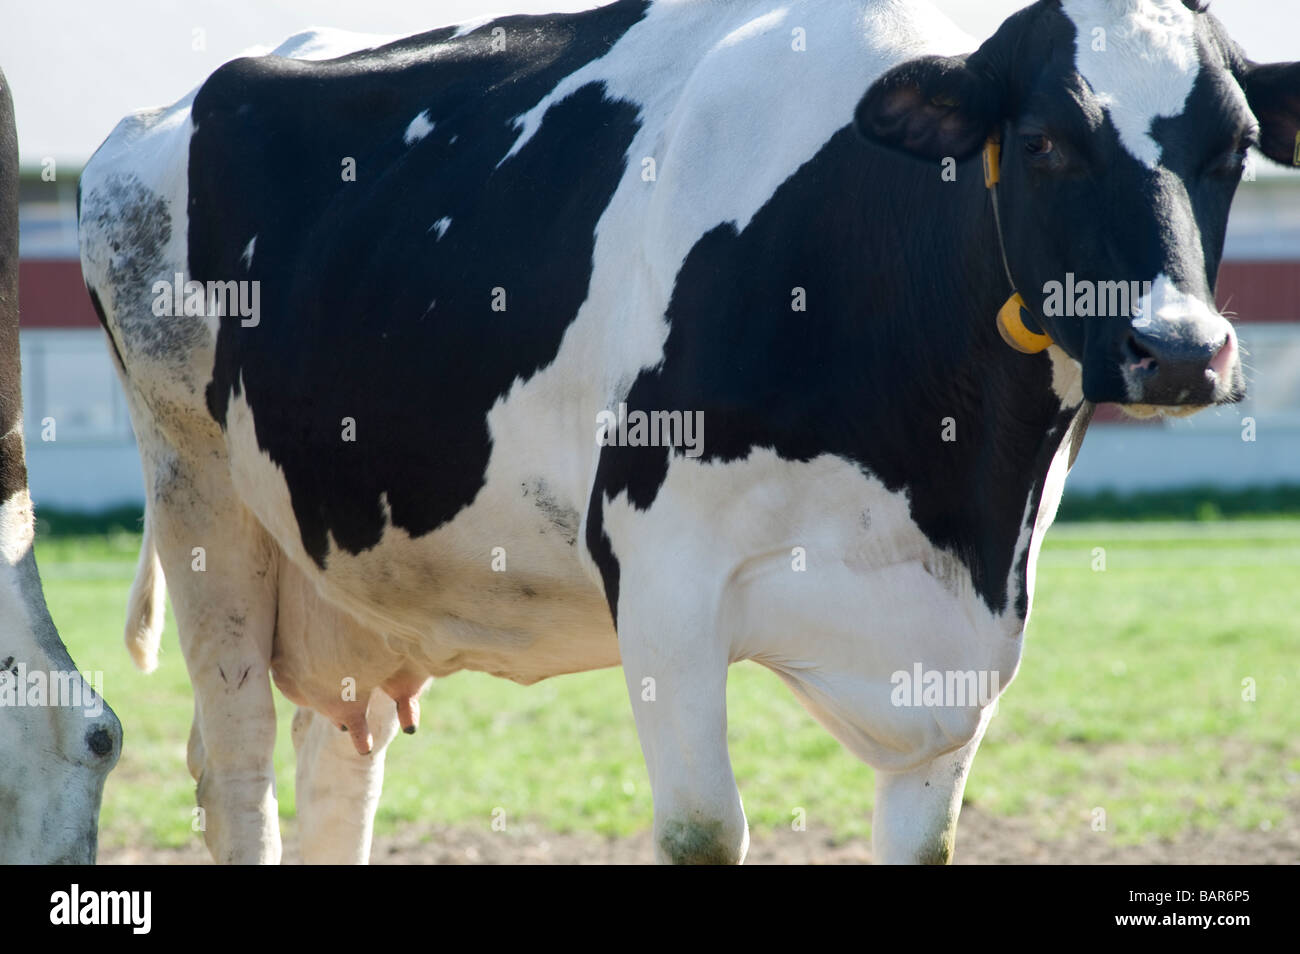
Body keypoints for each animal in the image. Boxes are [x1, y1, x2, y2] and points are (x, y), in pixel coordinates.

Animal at [78, 0, 1298, 864]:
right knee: (238, 770)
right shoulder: (664, 582)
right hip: (197, 492)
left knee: (340, 765)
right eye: (1043, 141)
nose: (1180, 350)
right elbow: (705, 831)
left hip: (347, 567)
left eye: (1234, 149)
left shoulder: (964, 639)